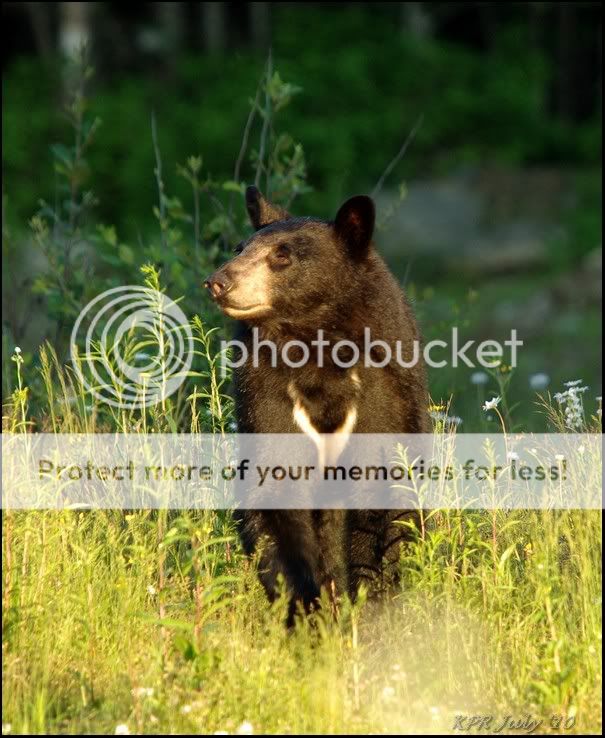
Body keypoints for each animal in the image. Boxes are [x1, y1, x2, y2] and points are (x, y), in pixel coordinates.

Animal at [205, 186, 429, 624]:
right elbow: (278, 490)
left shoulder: (380, 390)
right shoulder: (269, 392)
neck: (314, 343)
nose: (218, 282)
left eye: (282, 255)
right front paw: (309, 602)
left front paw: (365, 598)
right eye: (240, 247)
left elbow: (375, 495)